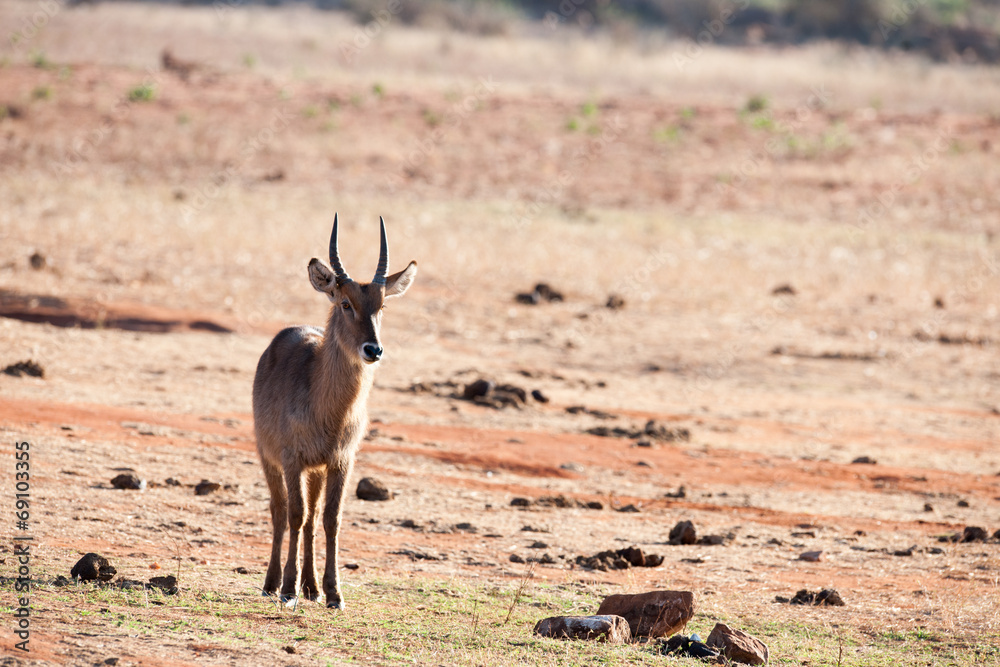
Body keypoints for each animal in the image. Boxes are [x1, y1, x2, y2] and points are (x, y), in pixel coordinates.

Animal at [252, 215, 417, 609]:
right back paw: (272, 583)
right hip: (269, 457)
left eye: (382, 305)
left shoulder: (341, 460)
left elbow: (331, 519)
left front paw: (333, 593)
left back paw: (311, 588)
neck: (329, 408)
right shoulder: (292, 459)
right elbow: (295, 516)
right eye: (345, 302)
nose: (373, 349)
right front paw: (288, 589)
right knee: (281, 513)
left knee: (312, 518)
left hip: (316, 471)